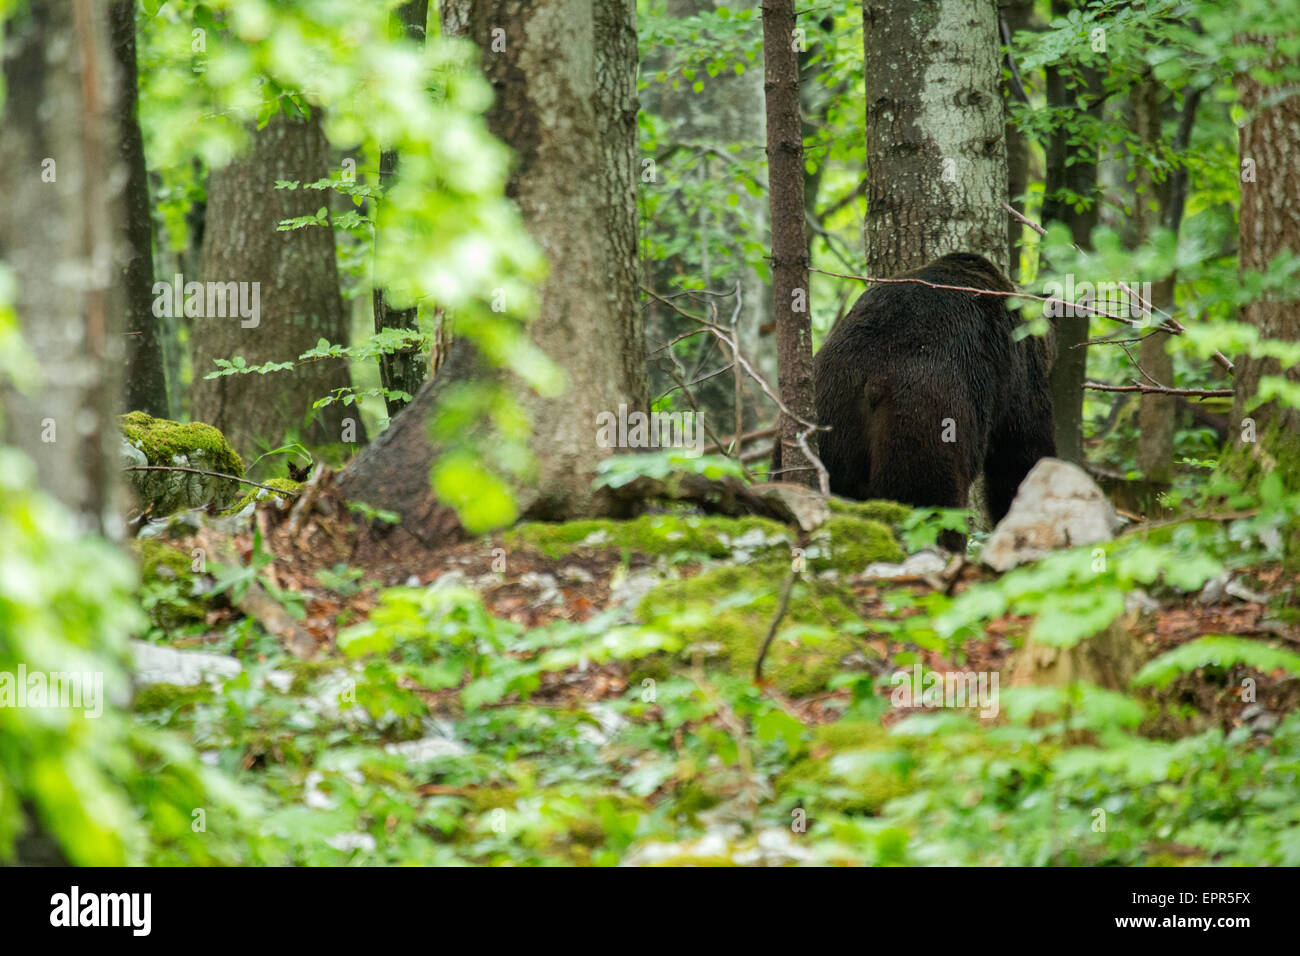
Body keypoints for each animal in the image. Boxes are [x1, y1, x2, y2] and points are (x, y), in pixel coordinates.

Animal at [813, 252, 1055, 550]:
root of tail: (870, 381)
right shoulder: (1017, 373)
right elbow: (1021, 453)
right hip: (925, 421)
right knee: (931, 506)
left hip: (828, 417)